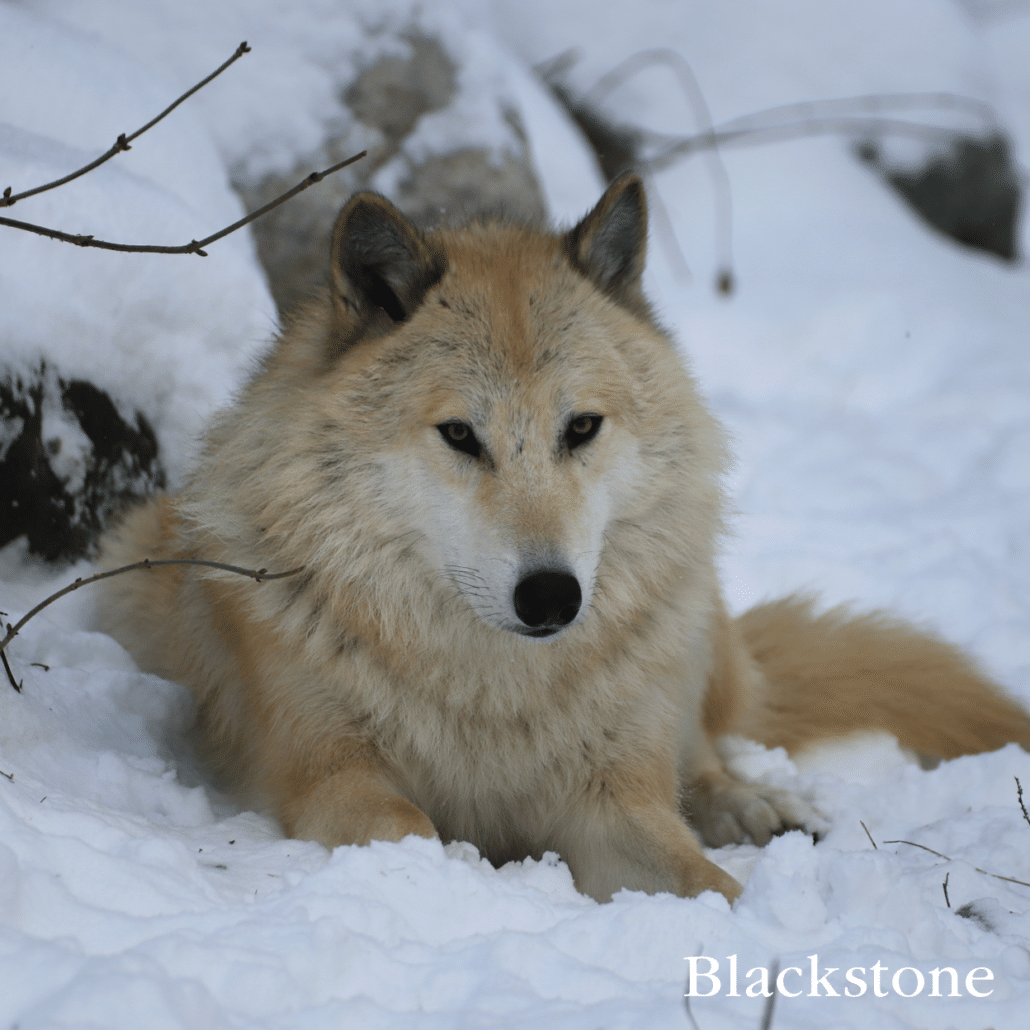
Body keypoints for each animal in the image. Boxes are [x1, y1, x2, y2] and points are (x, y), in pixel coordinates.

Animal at [99, 173, 1030, 903]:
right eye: (460, 435)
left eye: (581, 427)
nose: (551, 596)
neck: (493, 695)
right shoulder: (330, 777)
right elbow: (416, 832)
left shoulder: (613, 806)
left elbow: (706, 882)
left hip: (686, 626)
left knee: (702, 753)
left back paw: (760, 805)